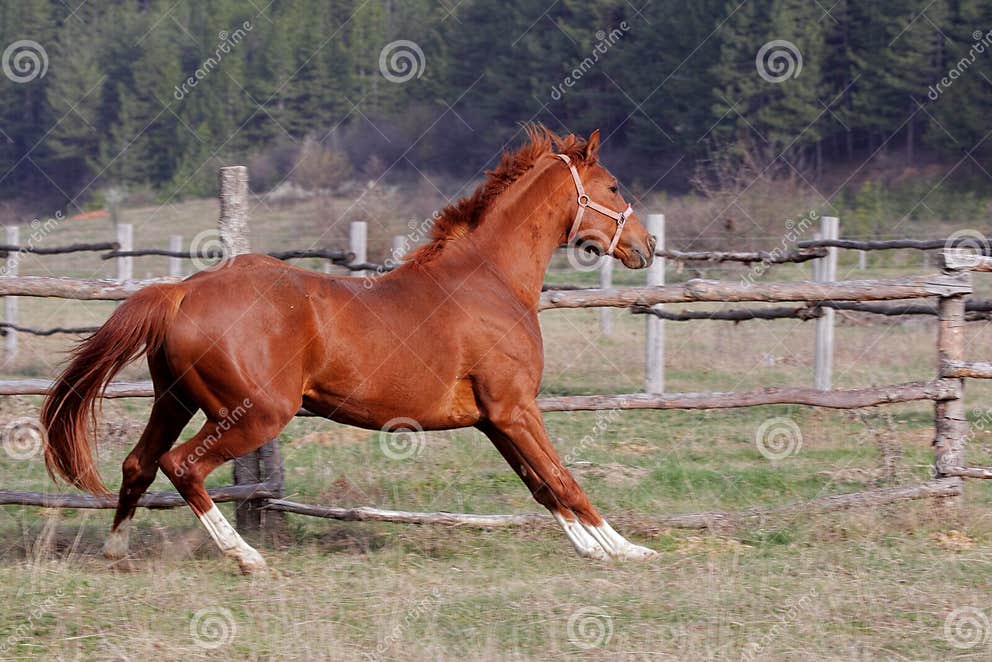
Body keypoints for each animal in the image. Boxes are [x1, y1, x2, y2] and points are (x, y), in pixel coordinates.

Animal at [41, 125, 659, 574]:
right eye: (613, 186)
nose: (647, 245)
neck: (491, 280)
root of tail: (183, 291)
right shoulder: (515, 408)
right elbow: (563, 479)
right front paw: (624, 550)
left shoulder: (494, 419)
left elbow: (540, 485)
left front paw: (591, 548)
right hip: (256, 413)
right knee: (181, 466)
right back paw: (247, 557)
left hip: (173, 400)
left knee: (138, 463)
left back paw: (116, 553)